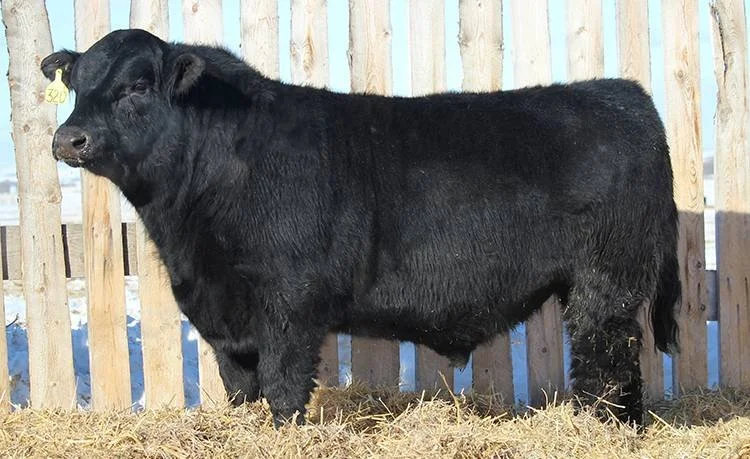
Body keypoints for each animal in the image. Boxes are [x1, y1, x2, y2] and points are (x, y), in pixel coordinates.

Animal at [42, 29, 680, 427]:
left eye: (136, 86)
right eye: (76, 84)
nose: (68, 139)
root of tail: (625, 96)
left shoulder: (289, 303)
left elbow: (283, 383)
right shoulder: (222, 312)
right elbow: (241, 388)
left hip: (608, 281)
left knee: (609, 357)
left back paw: (607, 427)